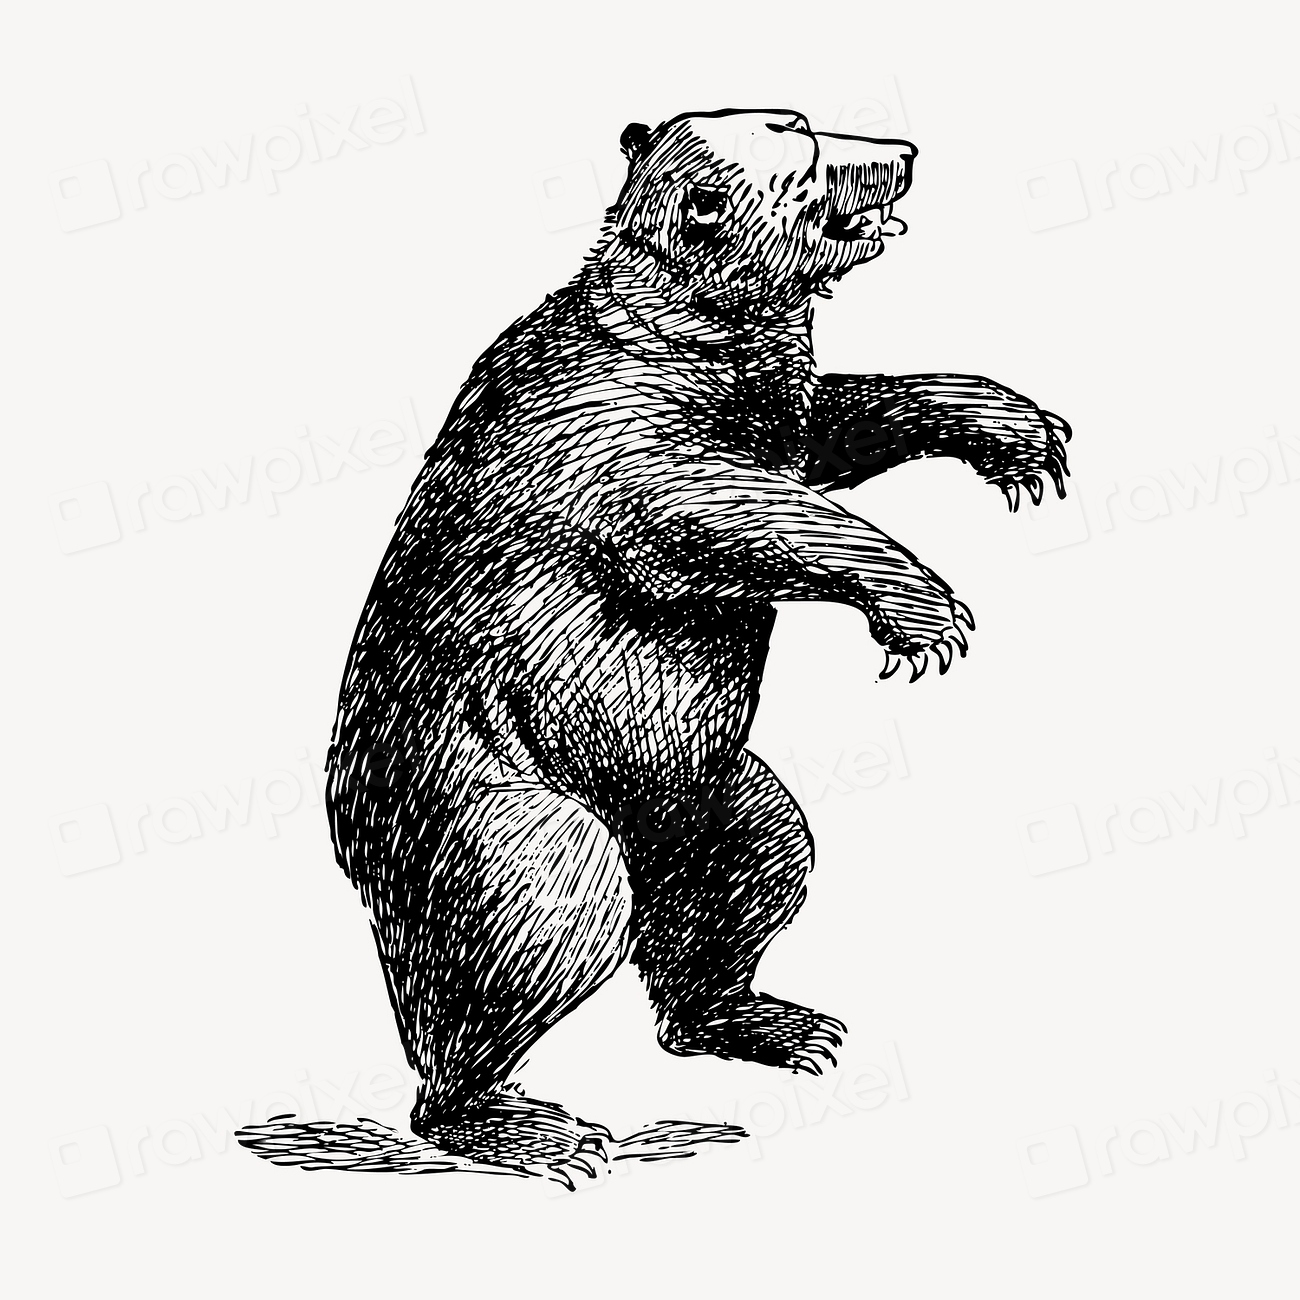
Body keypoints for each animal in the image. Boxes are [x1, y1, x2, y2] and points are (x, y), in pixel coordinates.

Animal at [321, 108, 1070, 1181]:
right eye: (805, 151)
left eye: (807, 118)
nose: (905, 151)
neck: (694, 326)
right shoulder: (608, 424)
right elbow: (718, 510)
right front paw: (919, 608)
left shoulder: (766, 396)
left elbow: (833, 419)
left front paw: (1009, 430)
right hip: (492, 803)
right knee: (541, 918)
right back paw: (517, 1123)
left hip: (702, 795)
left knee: (760, 862)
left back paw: (767, 1021)